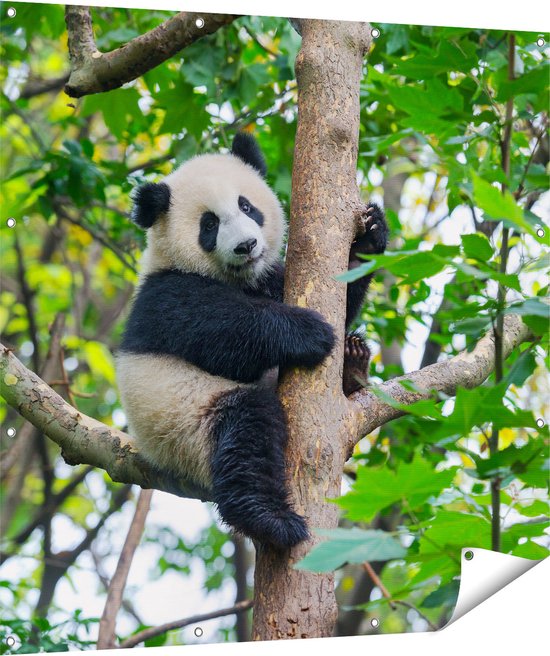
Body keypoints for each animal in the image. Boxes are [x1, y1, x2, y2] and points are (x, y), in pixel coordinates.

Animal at [116, 133, 388, 550]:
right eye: (209, 224)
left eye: (247, 206)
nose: (246, 245)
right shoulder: (165, 296)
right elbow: (223, 333)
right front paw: (309, 332)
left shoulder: (268, 279)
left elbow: (341, 294)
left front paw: (369, 237)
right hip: (185, 424)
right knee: (246, 431)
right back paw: (270, 519)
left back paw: (353, 361)